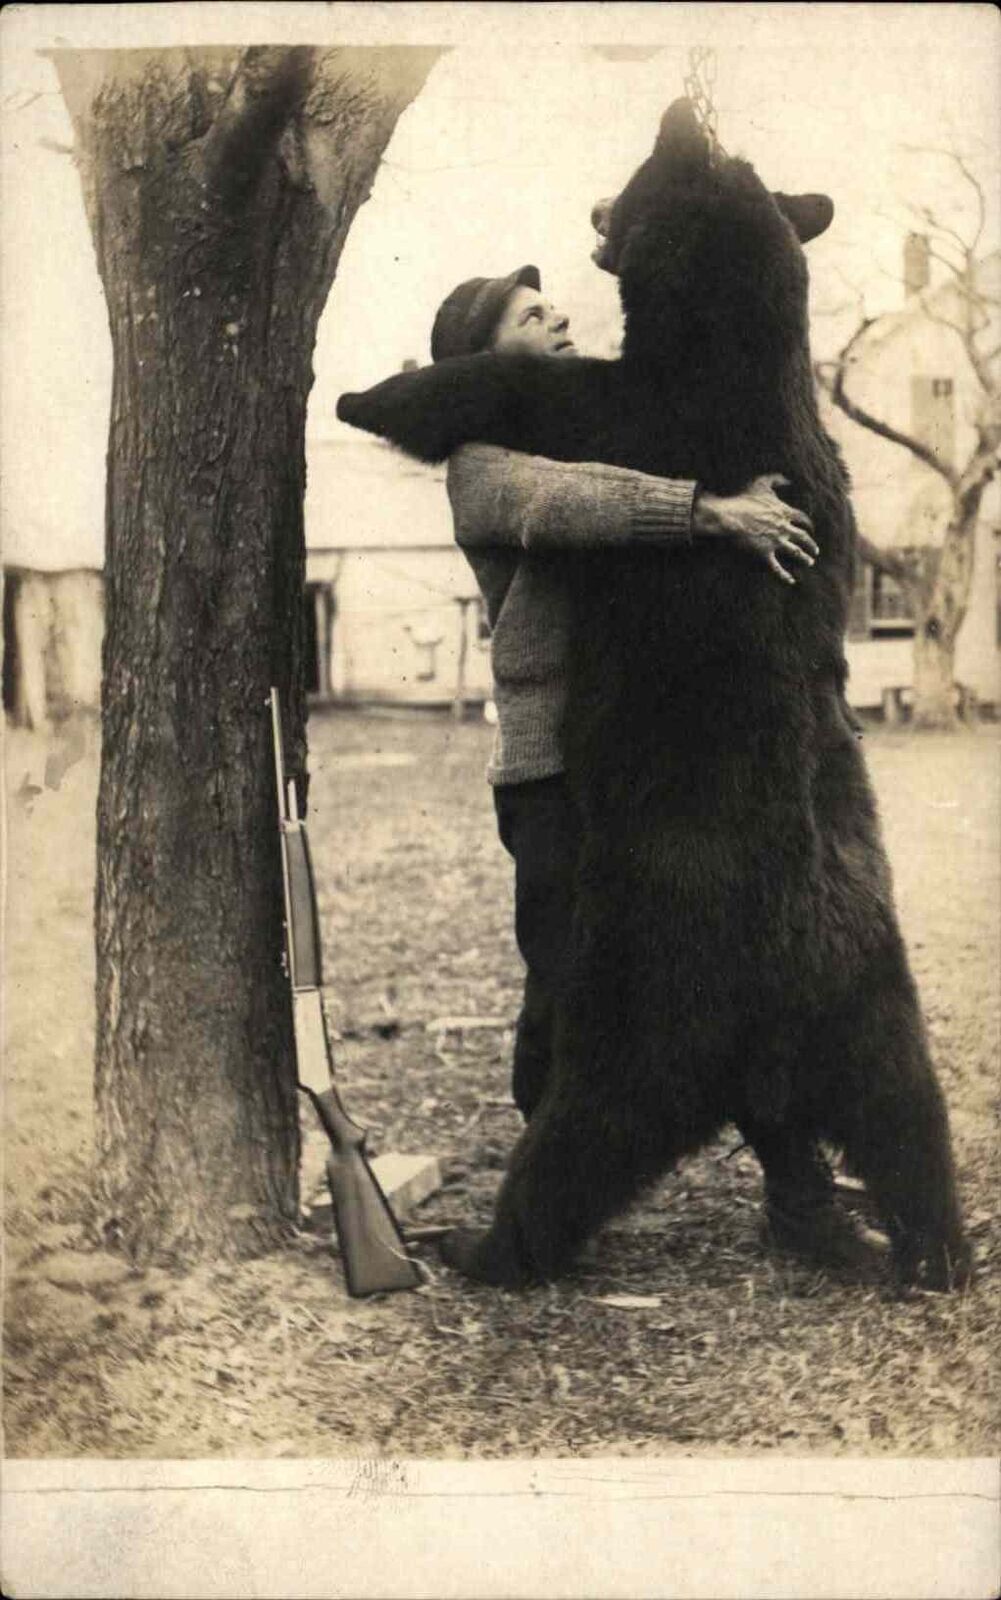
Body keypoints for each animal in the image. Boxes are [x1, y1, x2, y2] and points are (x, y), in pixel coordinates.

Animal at [337, 97, 972, 1293]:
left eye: (652, 167)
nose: (684, 108)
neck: (731, 345)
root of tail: (781, 1007)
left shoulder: (624, 414)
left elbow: (513, 399)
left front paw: (364, 390)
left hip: (644, 1001)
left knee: (582, 1131)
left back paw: (483, 1244)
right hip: (874, 1008)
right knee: (908, 1120)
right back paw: (932, 1245)